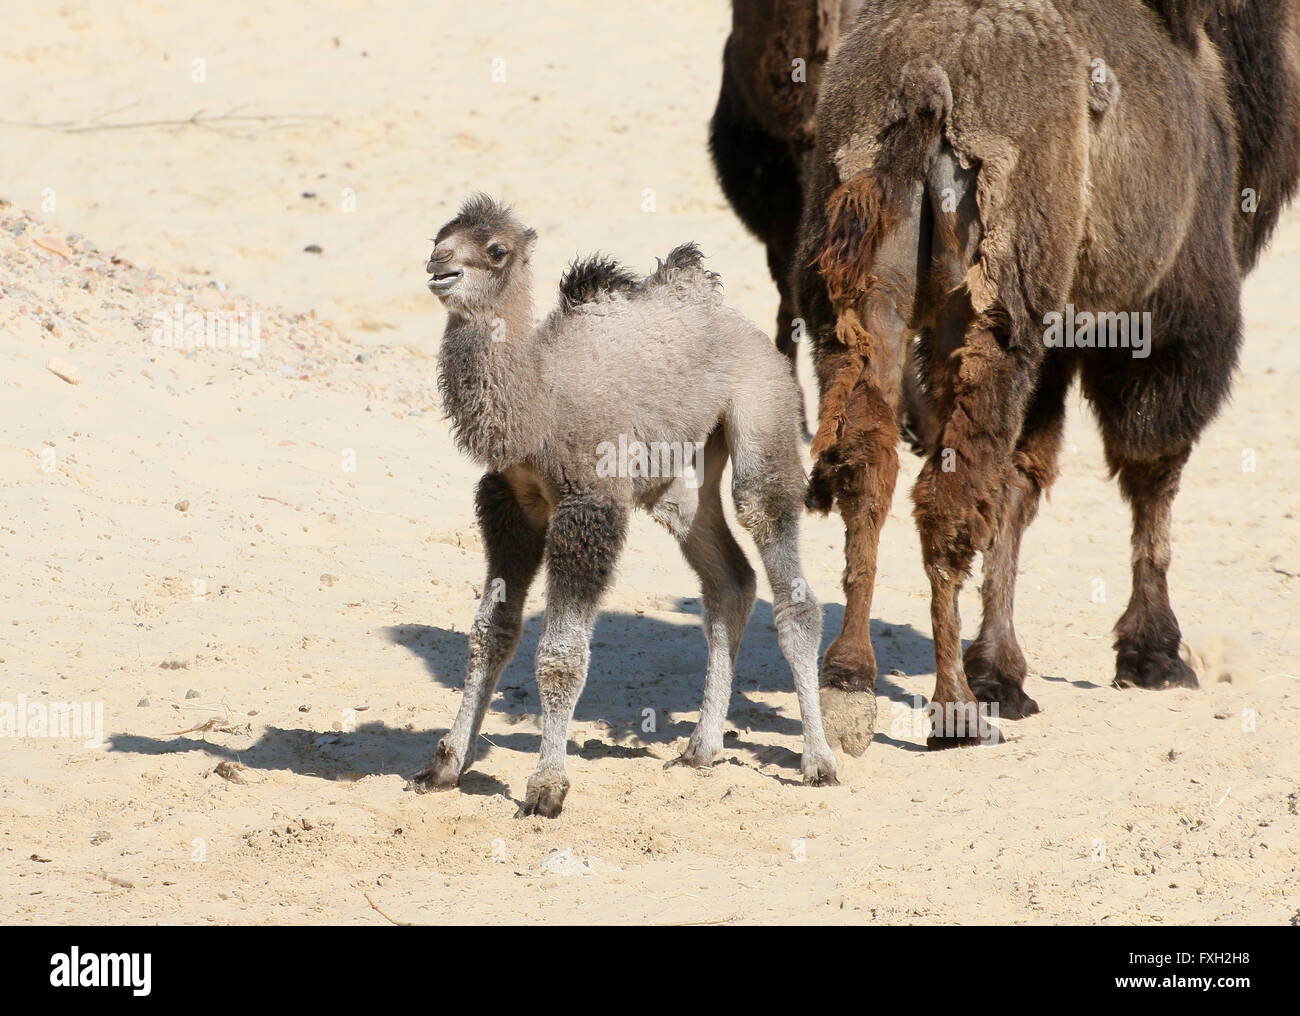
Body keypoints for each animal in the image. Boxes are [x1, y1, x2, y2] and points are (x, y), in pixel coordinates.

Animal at [413, 195, 836, 817]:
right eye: (440, 235)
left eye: (496, 250)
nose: (440, 263)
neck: (540, 404)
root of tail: (733, 318)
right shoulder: (510, 503)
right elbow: (491, 631)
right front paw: (445, 764)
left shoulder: (590, 508)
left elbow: (562, 653)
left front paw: (546, 788)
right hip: (678, 477)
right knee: (728, 579)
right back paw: (701, 748)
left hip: (763, 408)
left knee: (779, 554)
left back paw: (818, 761)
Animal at [793, 0, 1300, 748]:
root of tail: (922, 88)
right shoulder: (1171, 307)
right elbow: (1152, 464)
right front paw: (1152, 655)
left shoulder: (1056, 345)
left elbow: (1017, 485)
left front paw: (1002, 671)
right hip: (997, 303)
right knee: (945, 495)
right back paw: (955, 713)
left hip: (852, 279)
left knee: (868, 467)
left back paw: (848, 681)